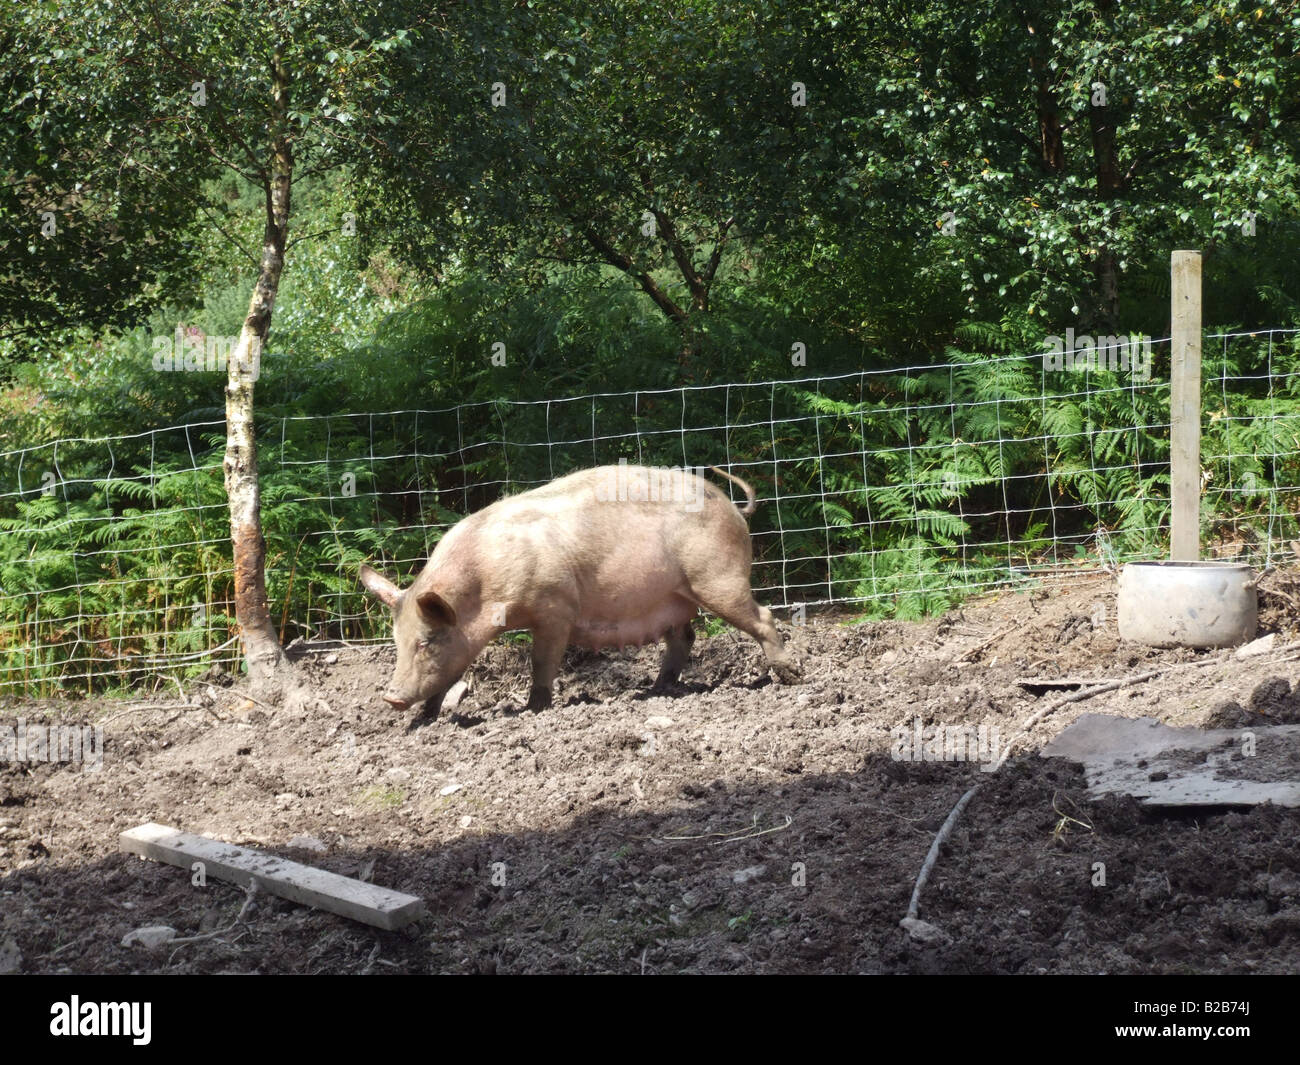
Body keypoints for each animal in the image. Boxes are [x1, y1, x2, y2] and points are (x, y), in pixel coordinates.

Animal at [359, 462, 799, 716]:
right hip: (674, 597)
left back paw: (791, 676)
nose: (391, 698)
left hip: (718, 578)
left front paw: (534, 710)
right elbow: (452, 672)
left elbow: (541, 662)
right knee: (684, 638)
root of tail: (733, 508)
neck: (483, 586)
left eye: (426, 641)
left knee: (763, 616)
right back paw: (657, 689)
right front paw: (425, 719)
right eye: (398, 642)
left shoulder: (554, 607)